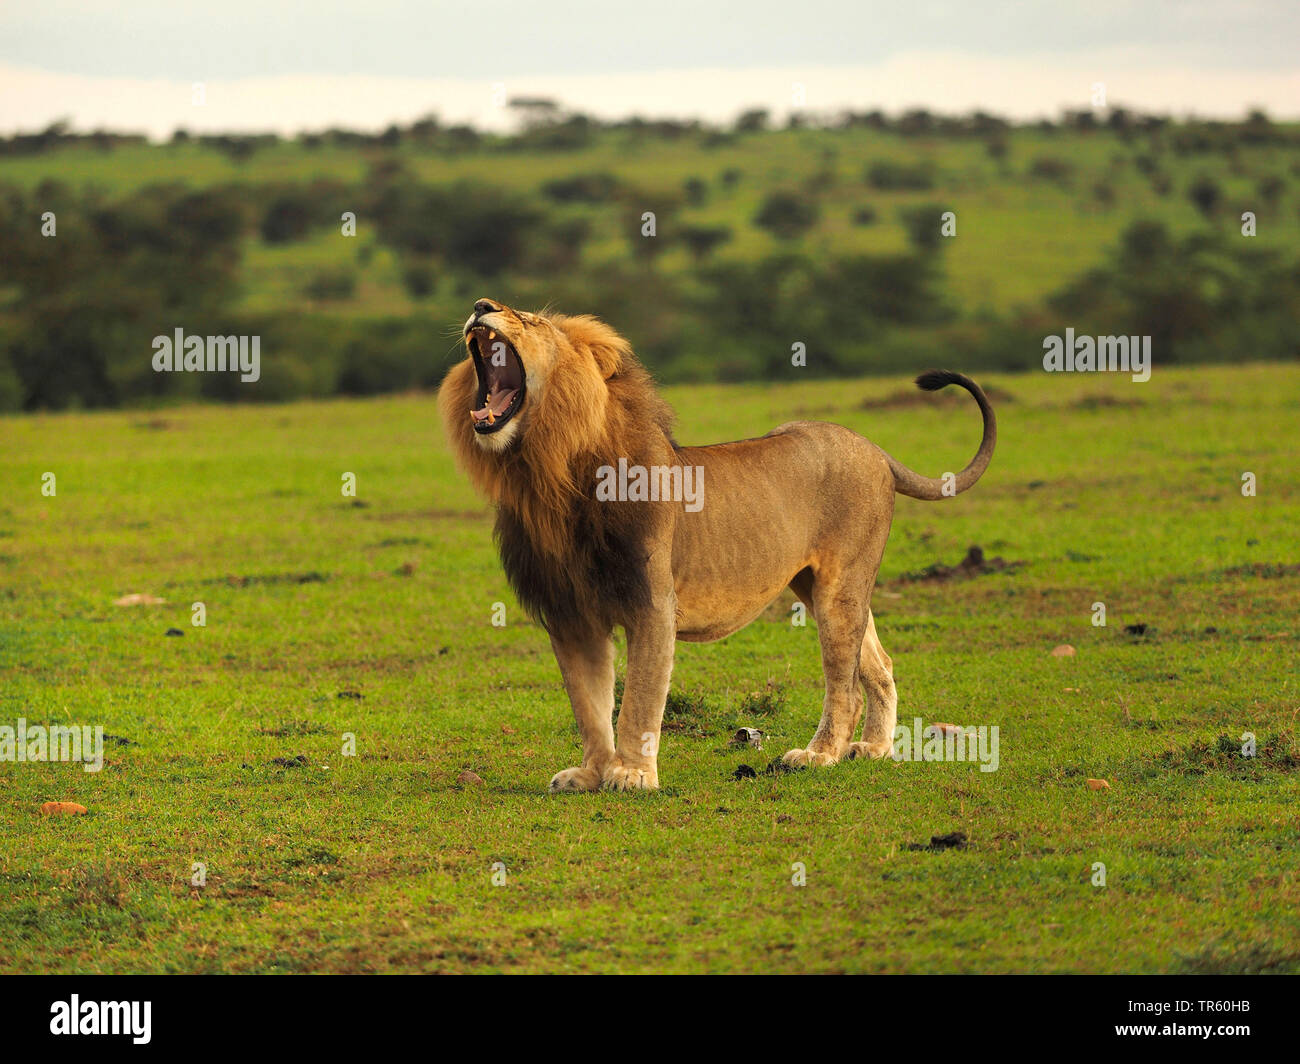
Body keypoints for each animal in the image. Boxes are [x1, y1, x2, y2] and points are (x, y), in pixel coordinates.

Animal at [438, 298, 996, 792]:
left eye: (530, 319)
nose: (481, 304)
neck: (548, 474)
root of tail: (874, 448)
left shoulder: (653, 604)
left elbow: (638, 699)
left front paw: (632, 775)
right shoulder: (571, 616)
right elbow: (590, 705)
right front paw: (591, 773)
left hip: (839, 586)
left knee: (845, 684)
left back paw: (817, 755)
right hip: (818, 586)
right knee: (878, 663)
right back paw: (874, 748)